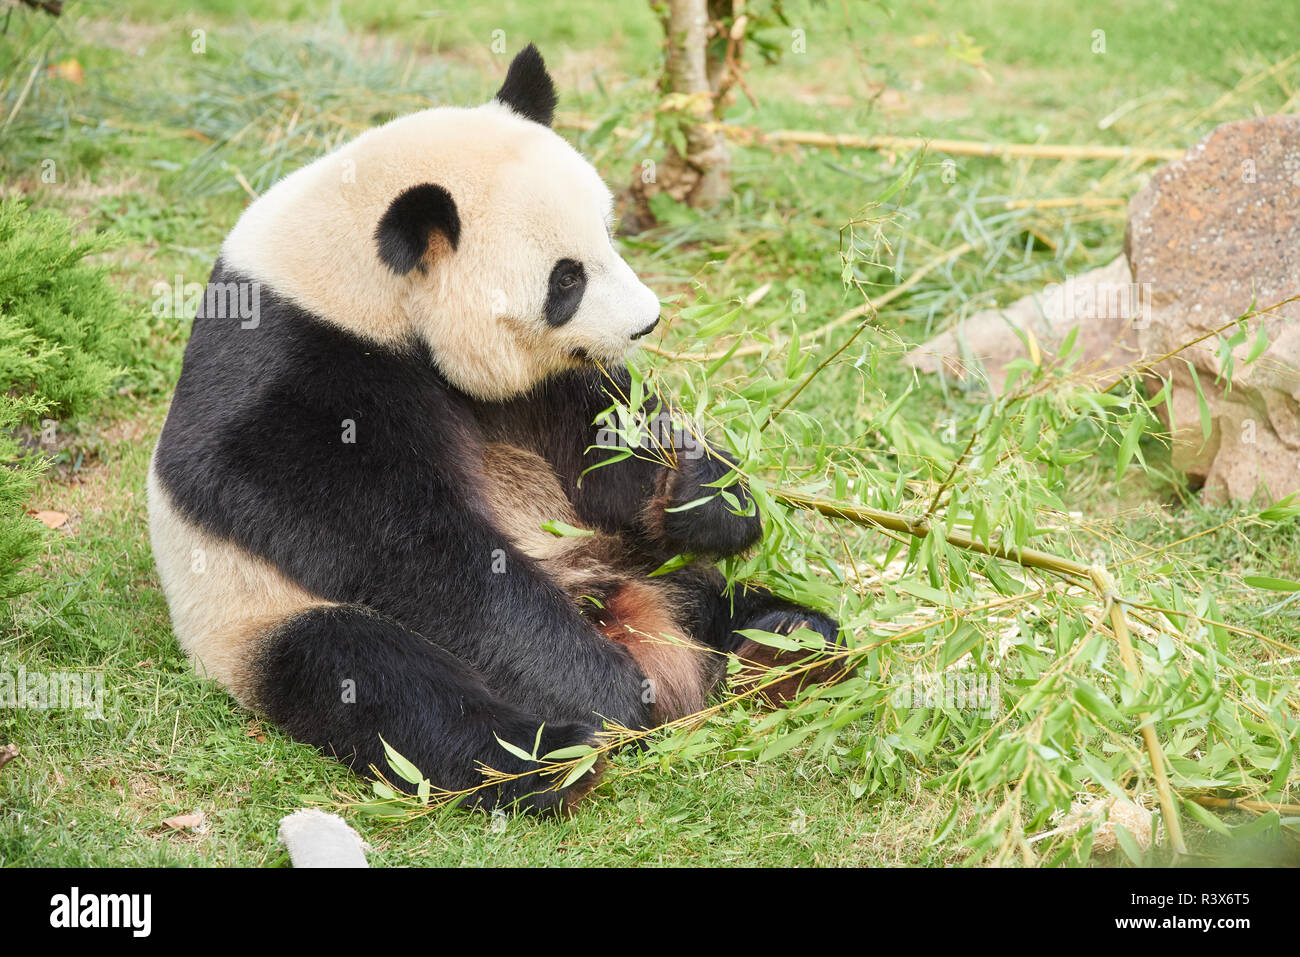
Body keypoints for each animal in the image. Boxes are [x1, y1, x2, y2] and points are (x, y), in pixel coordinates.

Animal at [148, 45, 845, 813]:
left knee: (708, 596)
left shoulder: (547, 385)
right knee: (379, 678)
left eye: (609, 235)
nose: (646, 322)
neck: (360, 283)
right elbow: (389, 537)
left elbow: (604, 439)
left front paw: (706, 496)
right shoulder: (294, 362)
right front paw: (599, 686)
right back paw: (554, 753)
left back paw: (788, 642)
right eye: (565, 279)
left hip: (627, 559)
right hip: (257, 617)